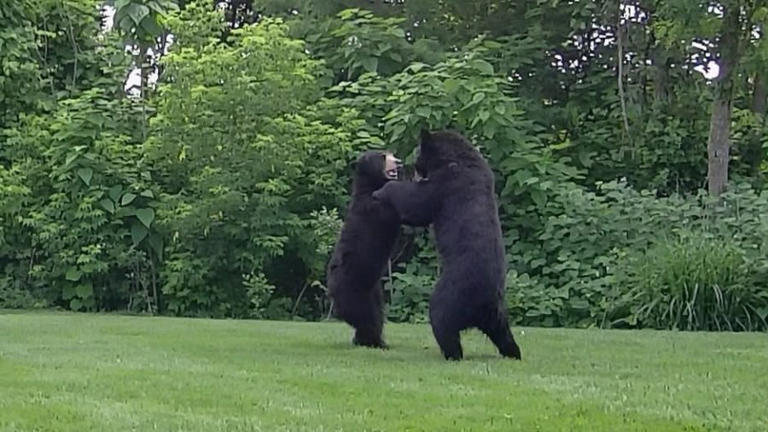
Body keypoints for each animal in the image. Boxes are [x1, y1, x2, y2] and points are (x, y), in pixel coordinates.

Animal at [326, 150, 402, 348]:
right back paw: (373, 341)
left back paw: (368, 339)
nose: (398, 162)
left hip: (373, 291)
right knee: (364, 315)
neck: (371, 187)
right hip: (351, 288)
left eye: (391, 153)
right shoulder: (373, 208)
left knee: (377, 314)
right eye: (383, 156)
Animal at [372, 129, 521, 361]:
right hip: (497, 315)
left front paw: (382, 192)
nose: (413, 168)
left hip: (451, 294)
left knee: (442, 320)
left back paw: (451, 353)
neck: (455, 159)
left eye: (418, 154)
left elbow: (416, 202)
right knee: (503, 333)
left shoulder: (445, 184)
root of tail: (483, 305)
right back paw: (513, 353)